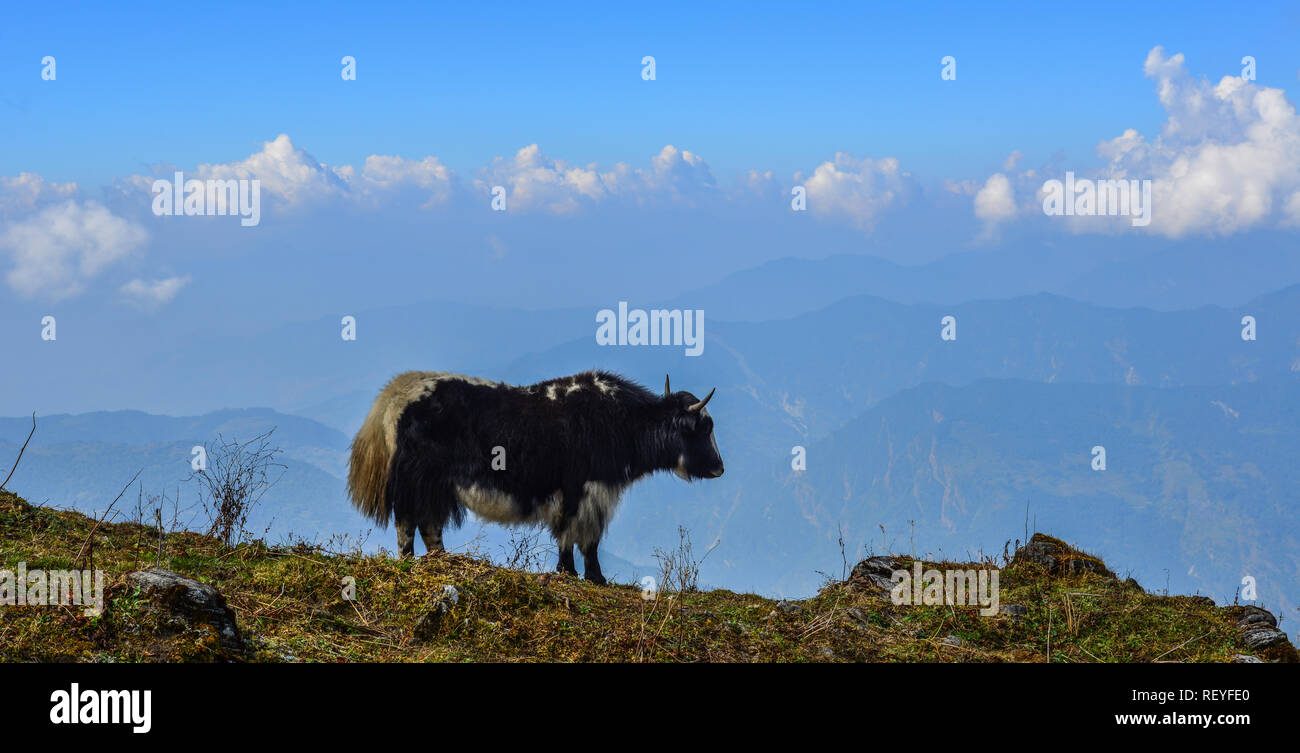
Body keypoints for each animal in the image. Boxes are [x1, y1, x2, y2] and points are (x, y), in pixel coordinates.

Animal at [346, 370, 724, 584]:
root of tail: (392, 396)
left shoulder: (580, 493)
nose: (719, 469)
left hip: (435, 486)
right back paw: (409, 563)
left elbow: (573, 535)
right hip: (417, 479)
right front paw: (588, 576)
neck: (623, 421)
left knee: (428, 524)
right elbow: (583, 537)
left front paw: (575, 573)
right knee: (408, 521)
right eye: (704, 427)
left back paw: (441, 561)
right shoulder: (584, 491)